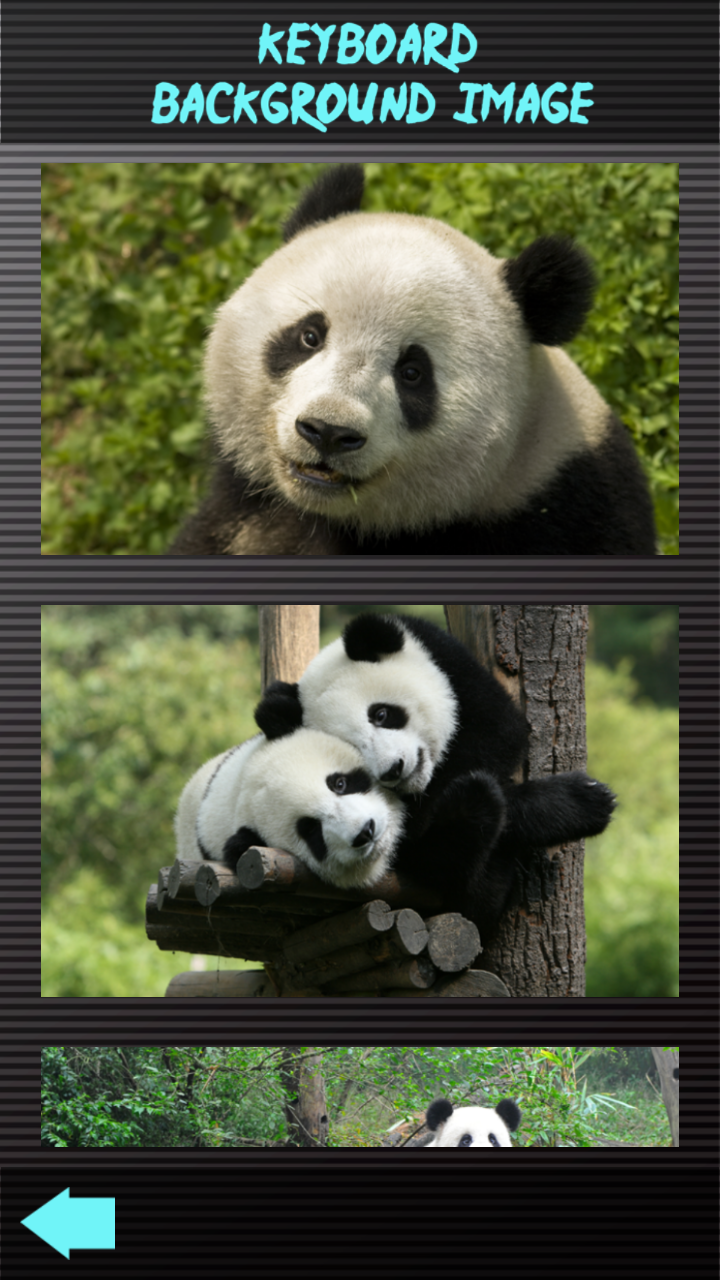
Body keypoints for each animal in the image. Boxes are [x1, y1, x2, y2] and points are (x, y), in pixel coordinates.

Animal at [255, 612, 616, 938]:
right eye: (354, 748)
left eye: (381, 714)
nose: (393, 769)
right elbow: (422, 837)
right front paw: (581, 802)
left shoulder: (449, 663)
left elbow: (499, 732)